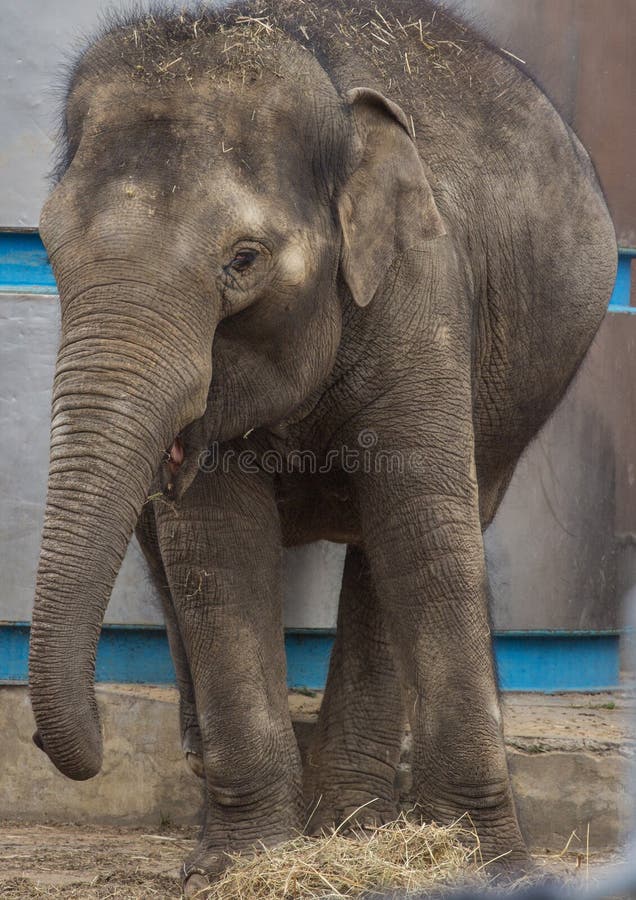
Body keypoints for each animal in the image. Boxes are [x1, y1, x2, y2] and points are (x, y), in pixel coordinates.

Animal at [29, 0, 616, 892]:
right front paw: (239, 865)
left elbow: (426, 537)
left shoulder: (421, 291)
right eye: (48, 251)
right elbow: (216, 550)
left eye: (243, 260)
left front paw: (493, 869)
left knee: (400, 541)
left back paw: (355, 825)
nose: (73, 748)